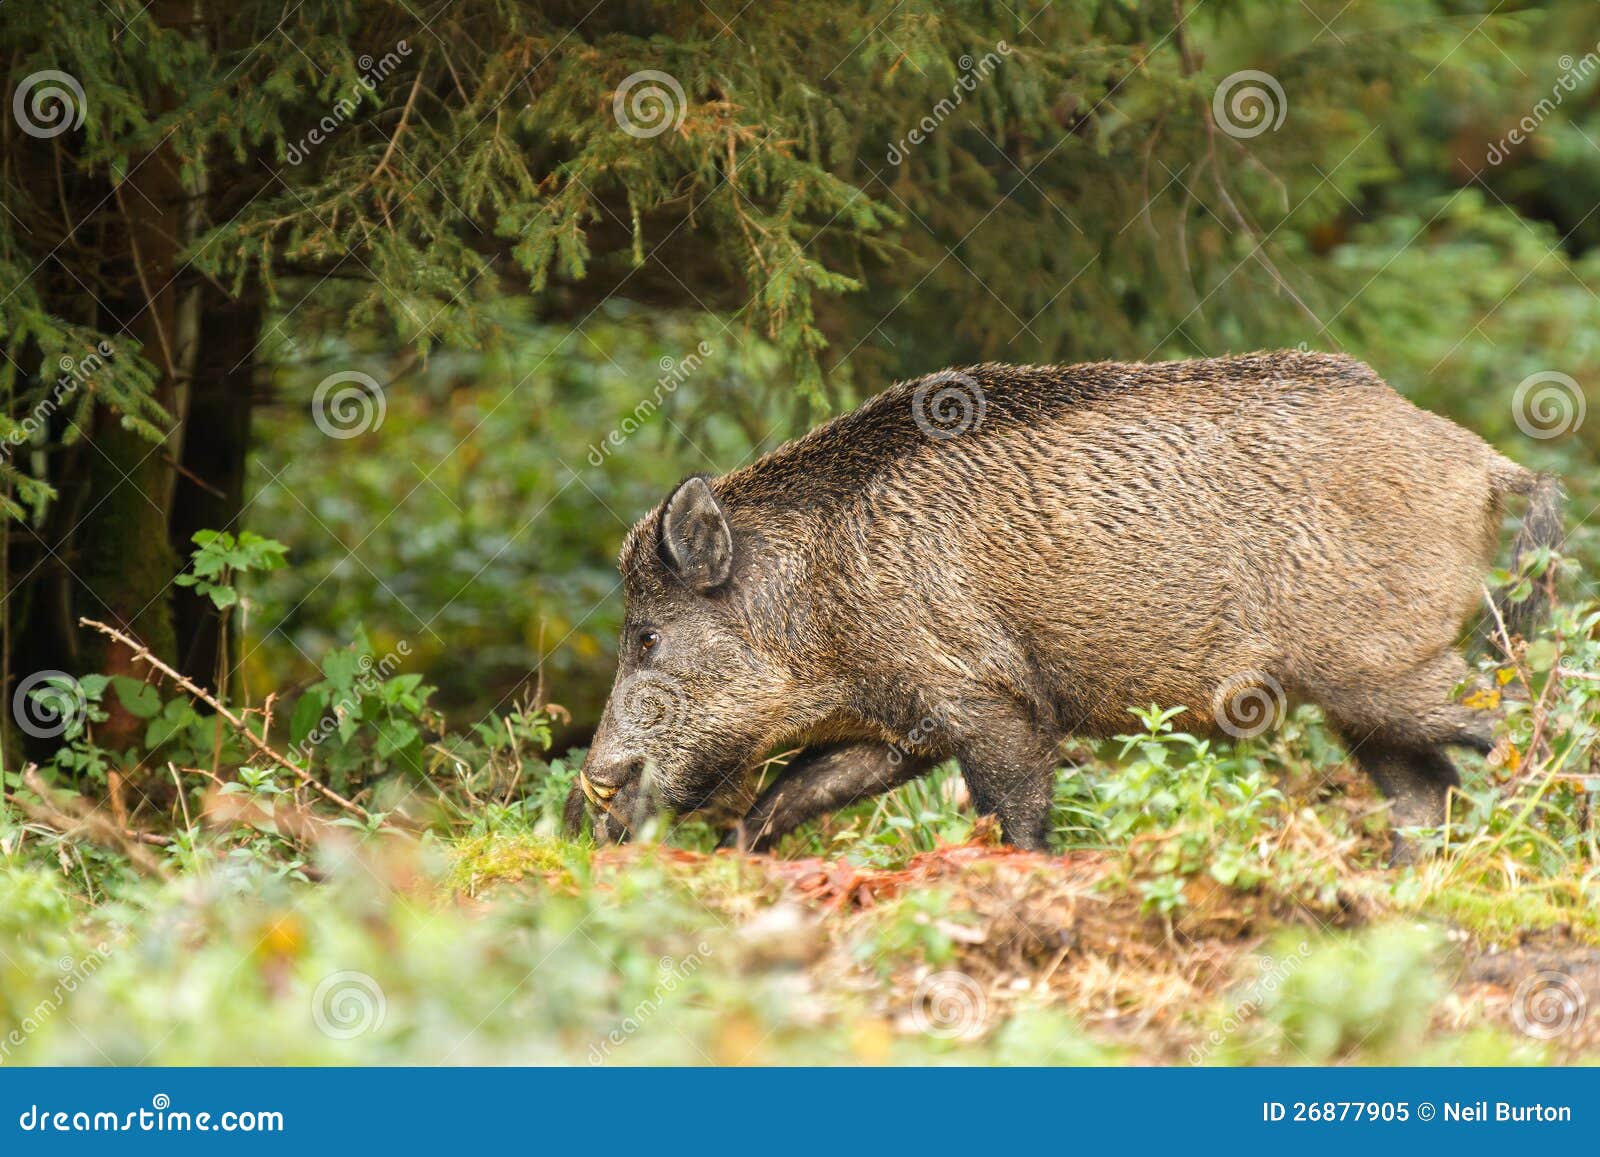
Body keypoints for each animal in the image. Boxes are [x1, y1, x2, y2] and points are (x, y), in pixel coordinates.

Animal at [571, 351, 1562, 859]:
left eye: (647, 637)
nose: (596, 793)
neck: (820, 597)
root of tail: (1485, 462)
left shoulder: (990, 695)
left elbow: (1018, 811)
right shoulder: (898, 725)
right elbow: (790, 795)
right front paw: (737, 860)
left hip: (1387, 665)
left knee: (1504, 720)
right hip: (1360, 696)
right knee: (1424, 791)